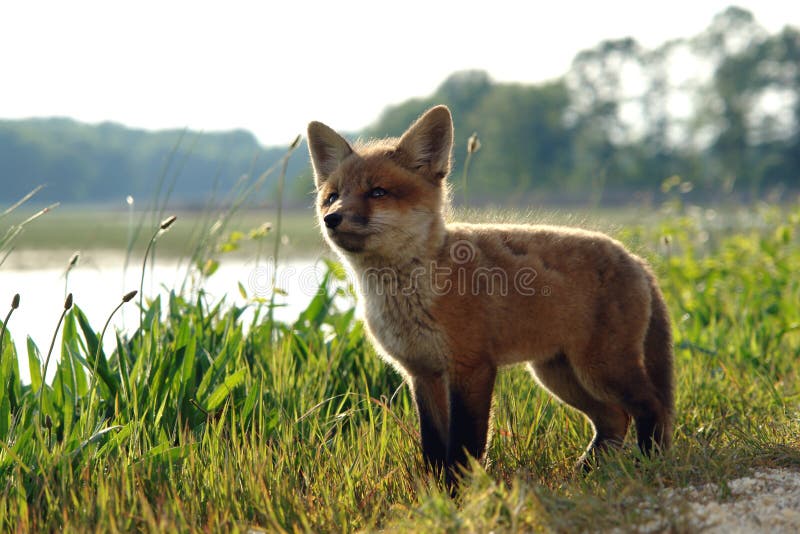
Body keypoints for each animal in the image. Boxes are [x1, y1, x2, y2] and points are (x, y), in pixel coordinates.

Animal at [307, 105, 674, 487]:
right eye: (332, 196)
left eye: (377, 192)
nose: (332, 218)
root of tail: (635, 259)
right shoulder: (423, 374)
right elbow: (433, 447)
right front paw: (436, 494)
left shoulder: (471, 368)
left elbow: (464, 445)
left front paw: (461, 494)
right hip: (560, 375)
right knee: (614, 418)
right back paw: (584, 473)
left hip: (602, 368)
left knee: (652, 407)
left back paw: (652, 463)